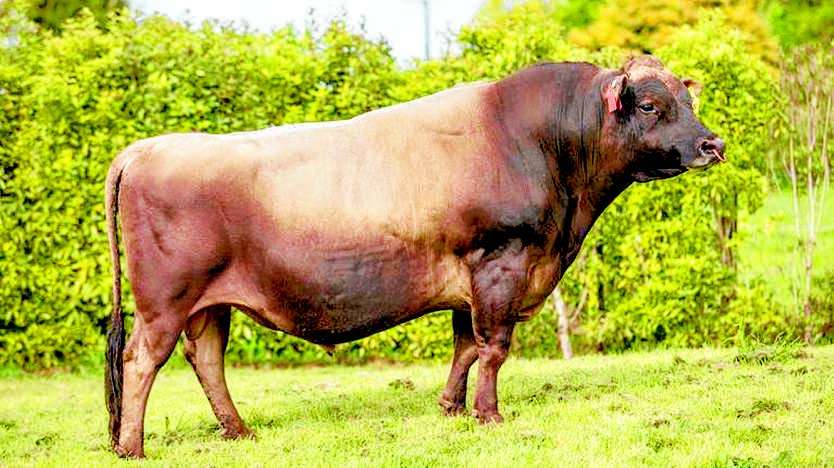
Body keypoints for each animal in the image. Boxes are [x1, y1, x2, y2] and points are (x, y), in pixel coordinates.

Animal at [104, 55, 724, 457]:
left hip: (210, 303)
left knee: (206, 358)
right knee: (142, 361)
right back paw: (133, 447)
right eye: (651, 104)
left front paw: (452, 408)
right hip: (166, 300)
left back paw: (238, 433)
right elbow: (493, 348)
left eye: (688, 98)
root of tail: (148, 147)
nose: (712, 144)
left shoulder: (470, 281)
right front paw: (490, 415)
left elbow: (465, 348)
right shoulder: (501, 263)